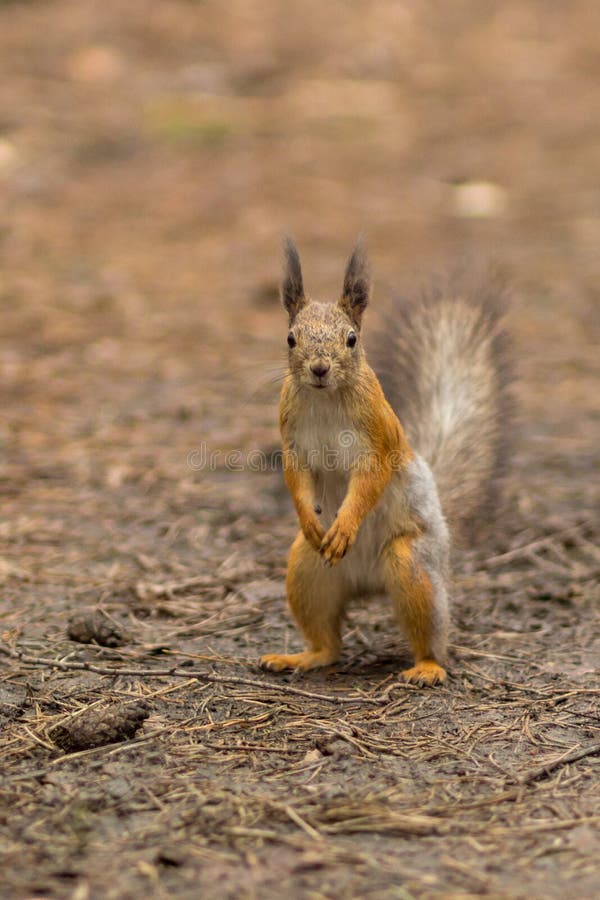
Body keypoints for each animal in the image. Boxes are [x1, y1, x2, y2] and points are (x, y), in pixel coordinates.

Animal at [260, 238, 511, 685]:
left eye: (351, 338)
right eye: (290, 338)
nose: (319, 369)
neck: (326, 399)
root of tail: (366, 583)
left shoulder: (377, 440)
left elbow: (369, 481)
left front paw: (344, 526)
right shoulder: (292, 442)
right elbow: (296, 477)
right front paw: (310, 519)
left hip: (412, 564)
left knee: (432, 634)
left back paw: (427, 667)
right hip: (305, 570)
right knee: (328, 644)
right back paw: (300, 657)